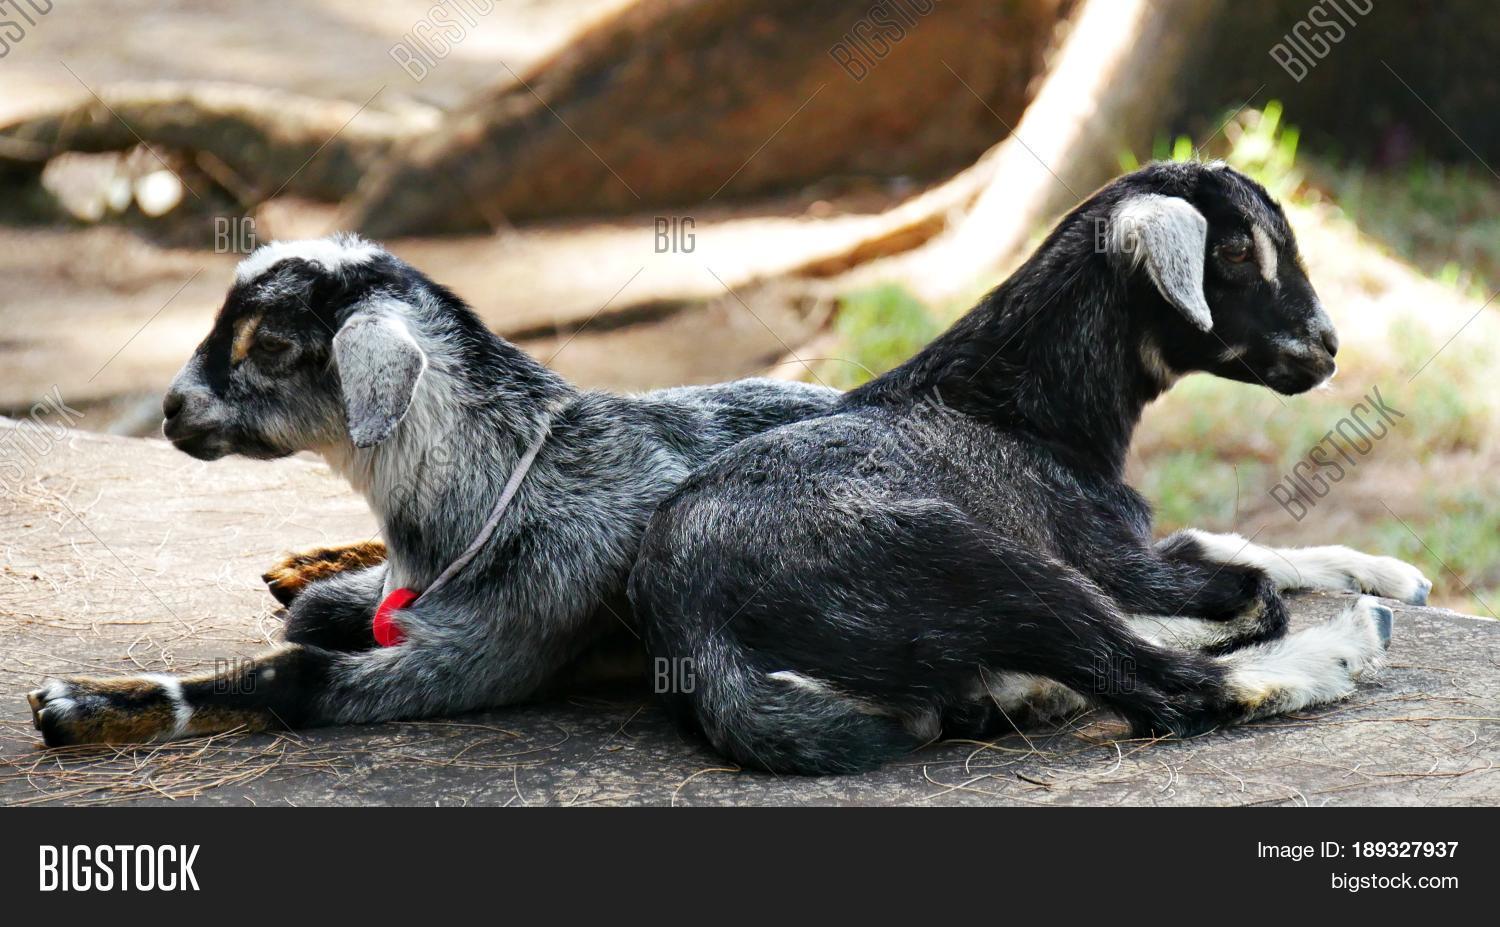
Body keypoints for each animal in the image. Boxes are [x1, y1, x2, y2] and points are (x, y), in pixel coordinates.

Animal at [25, 235, 838, 746]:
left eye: (273, 346)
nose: (172, 407)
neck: (511, 478)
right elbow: (318, 616)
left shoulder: (479, 656)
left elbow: (294, 670)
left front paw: (87, 704)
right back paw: (309, 563)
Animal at [628, 161, 1433, 775]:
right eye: (1236, 252)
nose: (1328, 347)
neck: (1019, 412)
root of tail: (698, 634)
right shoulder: (1107, 554)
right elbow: (1246, 586)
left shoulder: (1125, 544)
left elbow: (1227, 545)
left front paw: (1388, 572)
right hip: (966, 562)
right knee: (1157, 684)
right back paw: (1344, 647)